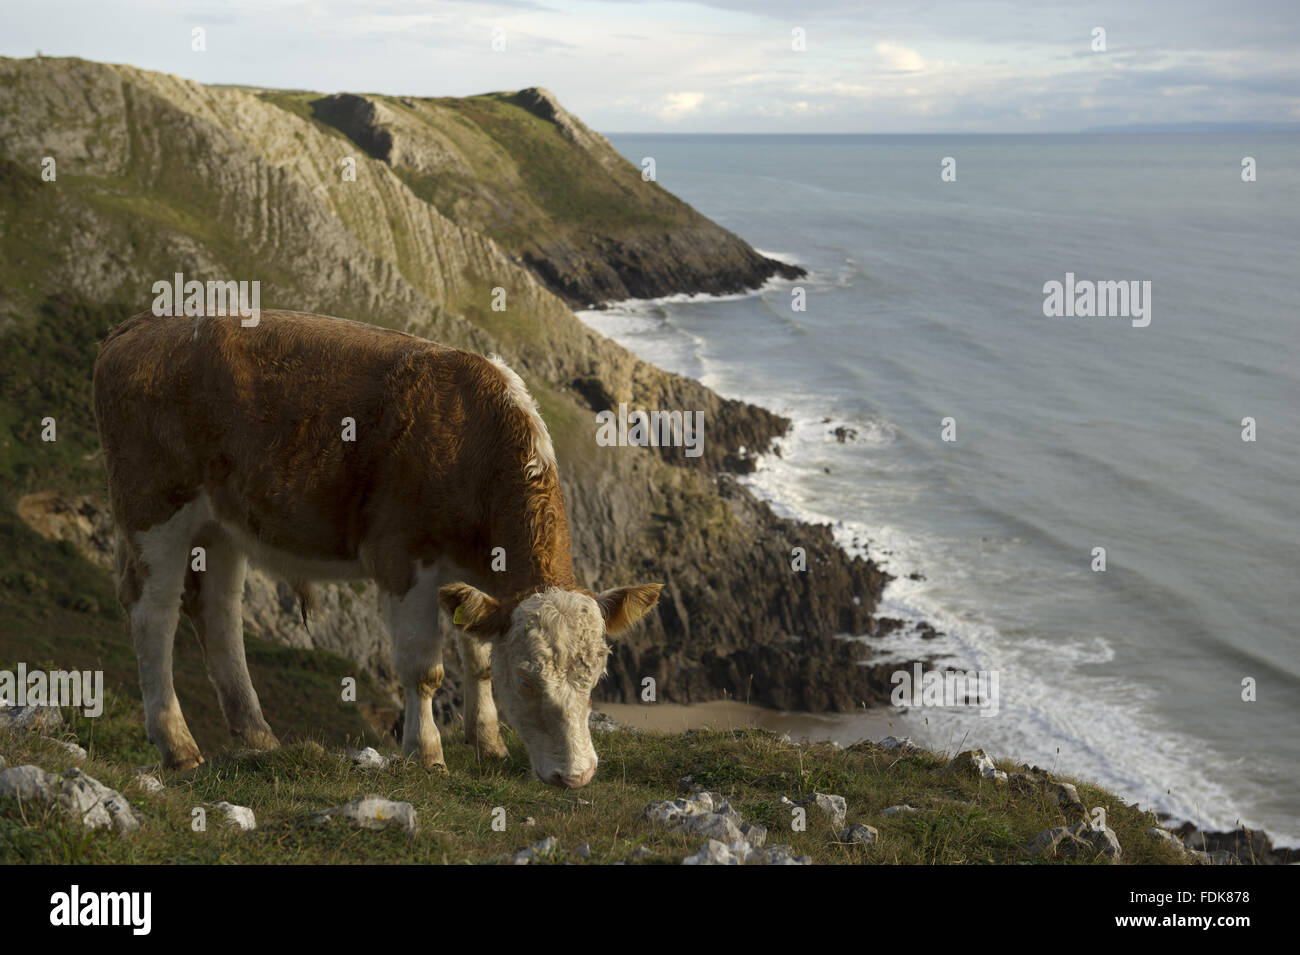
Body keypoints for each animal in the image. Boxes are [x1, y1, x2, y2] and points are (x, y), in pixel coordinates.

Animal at [92, 309, 661, 787]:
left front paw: (489, 745)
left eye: (597, 676)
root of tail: (140, 326)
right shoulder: (402, 558)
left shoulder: (480, 579)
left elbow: (476, 659)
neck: (472, 439)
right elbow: (424, 670)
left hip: (221, 524)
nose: (577, 776)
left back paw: (258, 740)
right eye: (525, 680)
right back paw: (178, 747)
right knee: (154, 613)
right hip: (153, 509)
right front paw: (426, 754)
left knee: (218, 613)